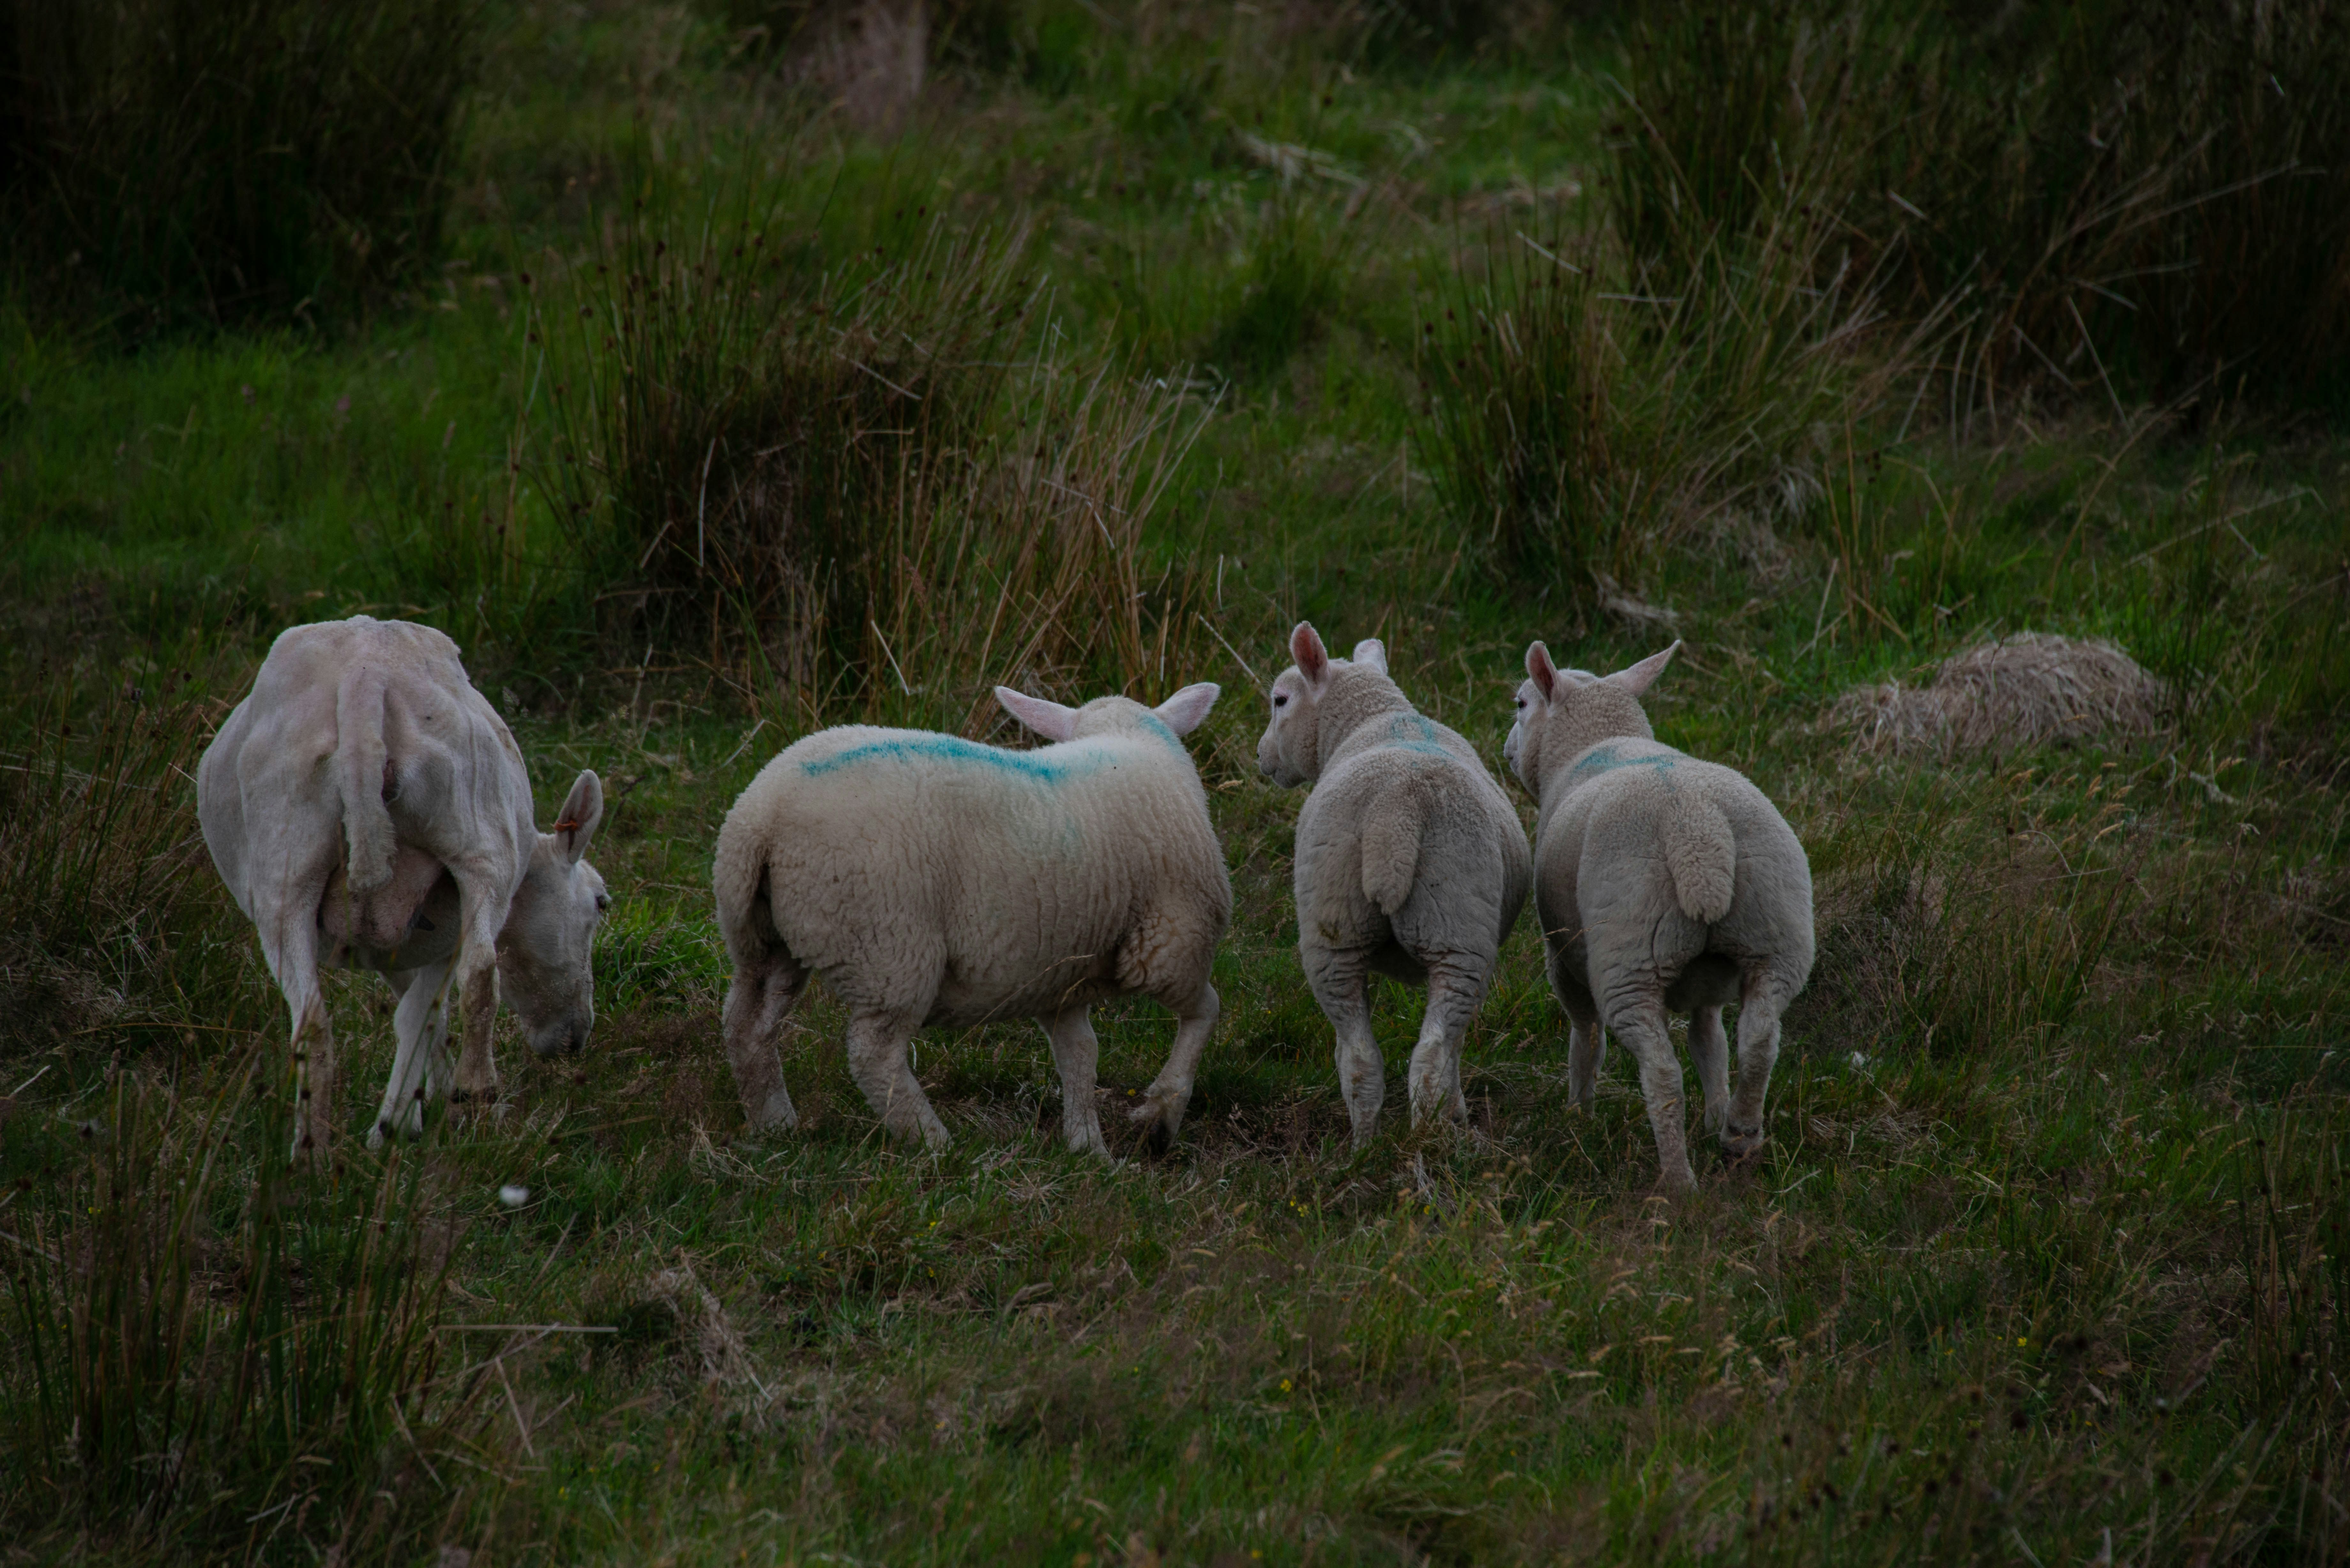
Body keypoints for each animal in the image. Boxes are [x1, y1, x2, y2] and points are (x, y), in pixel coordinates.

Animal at [711, 683, 1231, 1157]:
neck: (1132, 741)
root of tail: (761, 818)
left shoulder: (1059, 976)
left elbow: (1081, 1054)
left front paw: (1089, 1149)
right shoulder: (1171, 942)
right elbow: (1206, 1010)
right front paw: (1160, 1117)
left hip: (765, 936)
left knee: (747, 1024)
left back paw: (775, 1124)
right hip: (887, 946)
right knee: (873, 1053)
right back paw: (935, 1143)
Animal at [1258, 624, 1531, 1146]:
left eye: (1280, 700)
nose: (1262, 757)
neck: (1376, 717)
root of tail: (1397, 806)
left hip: (1353, 926)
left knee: (1383, 1056)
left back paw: (1392, 1145)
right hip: (1439, 933)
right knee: (1413, 1056)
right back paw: (1405, 1145)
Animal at [1503, 639, 1814, 1193]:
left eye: (1521, 704)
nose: (1505, 750)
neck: (1600, 742)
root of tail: (1695, 825)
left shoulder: (1561, 952)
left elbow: (1585, 1035)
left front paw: (1577, 1112)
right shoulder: (1709, 983)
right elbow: (1710, 1043)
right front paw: (1714, 1116)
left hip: (1629, 952)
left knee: (1661, 1071)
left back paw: (1678, 1181)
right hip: (1777, 934)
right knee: (1759, 1038)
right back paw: (1739, 1135)